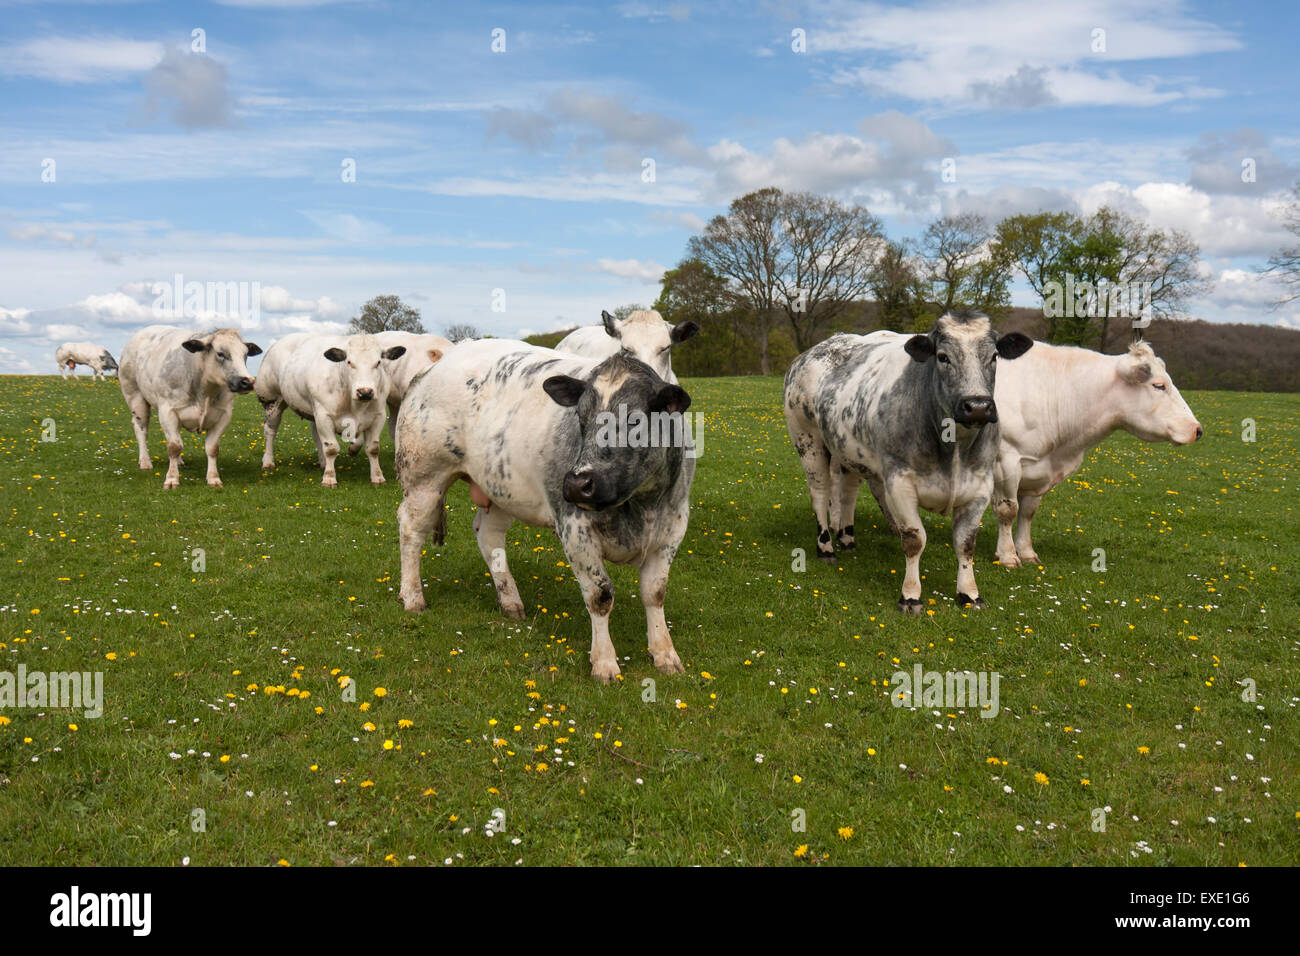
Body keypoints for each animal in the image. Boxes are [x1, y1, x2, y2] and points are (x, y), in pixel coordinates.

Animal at [118, 325, 262, 489]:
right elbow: (174, 446)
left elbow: (212, 448)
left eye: (245, 355)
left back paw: (179, 461)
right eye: (220, 354)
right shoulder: (167, 411)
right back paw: (145, 461)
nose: (248, 382)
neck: (204, 392)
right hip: (135, 396)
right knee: (141, 429)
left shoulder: (224, 415)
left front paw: (213, 478)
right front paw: (172, 479)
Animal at [255, 332, 407, 487]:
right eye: (349, 362)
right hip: (272, 400)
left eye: (378, 362)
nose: (365, 392)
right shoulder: (324, 415)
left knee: (315, 433)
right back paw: (268, 461)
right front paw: (329, 478)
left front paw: (377, 476)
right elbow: (331, 448)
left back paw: (322, 462)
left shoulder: (378, 416)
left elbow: (373, 448)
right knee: (270, 431)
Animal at [395, 339, 695, 682]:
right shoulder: (575, 529)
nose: (577, 483)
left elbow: (654, 594)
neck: (640, 506)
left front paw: (665, 653)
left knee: (488, 536)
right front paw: (605, 661)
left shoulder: (672, 529)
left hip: (501, 487)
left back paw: (510, 600)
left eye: (634, 421)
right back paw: (412, 596)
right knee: (410, 530)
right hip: (424, 479)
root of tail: (439, 362)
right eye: (581, 419)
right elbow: (600, 596)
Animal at [783, 312, 1032, 613]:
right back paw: (826, 547)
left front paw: (969, 593)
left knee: (847, 492)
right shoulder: (899, 484)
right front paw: (911, 595)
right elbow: (914, 539)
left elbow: (966, 543)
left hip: (848, 449)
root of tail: (813, 351)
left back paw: (847, 537)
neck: (954, 447)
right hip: (808, 440)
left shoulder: (980, 487)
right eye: (942, 356)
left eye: (994, 356)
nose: (978, 406)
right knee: (820, 493)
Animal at [990, 340, 1202, 567]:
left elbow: (1027, 512)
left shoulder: (1038, 471)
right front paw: (1008, 555)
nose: (1197, 429)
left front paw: (1026, 552)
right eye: (1159, 385)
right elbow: (1008, 510)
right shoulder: (1006, 460)